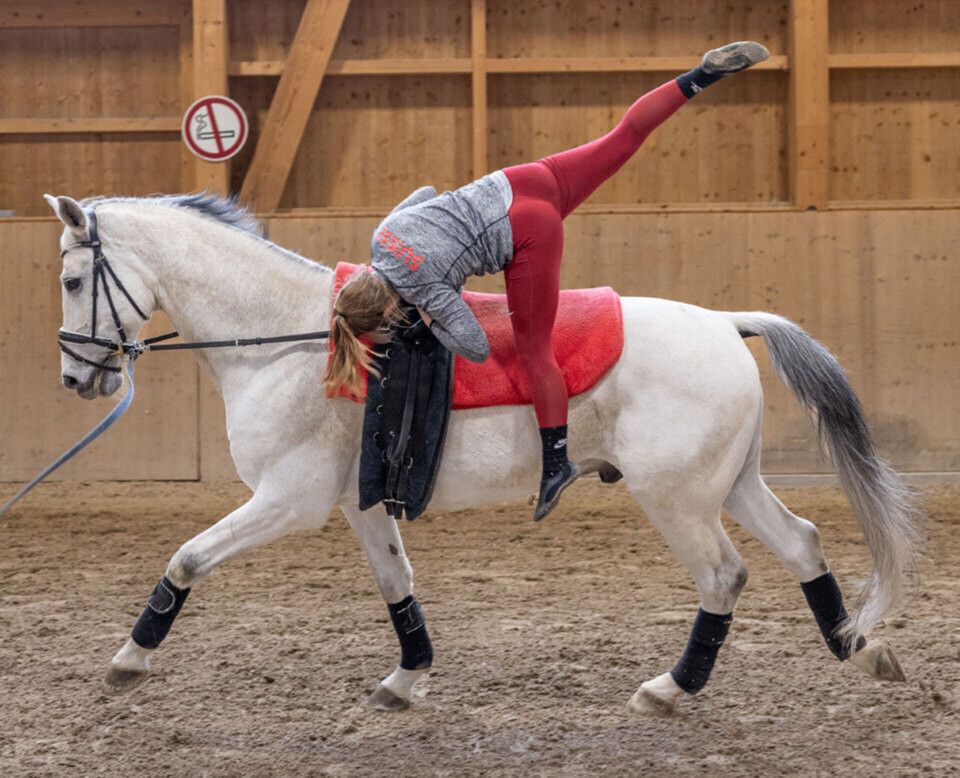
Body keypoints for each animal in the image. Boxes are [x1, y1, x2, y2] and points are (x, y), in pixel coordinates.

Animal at [44, 192, 919, 715]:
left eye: (75, 278)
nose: (77, 378)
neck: (289, 337)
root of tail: (725, 323)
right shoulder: (361, 503)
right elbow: (398, 586)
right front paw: (407, 678)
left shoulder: (286, 502)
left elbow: (187, 558)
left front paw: (129, 659)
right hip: (728, 485)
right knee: (803, 543)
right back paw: (860, 649)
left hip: (677, 498)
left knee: (724, 576)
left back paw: (671, 688)